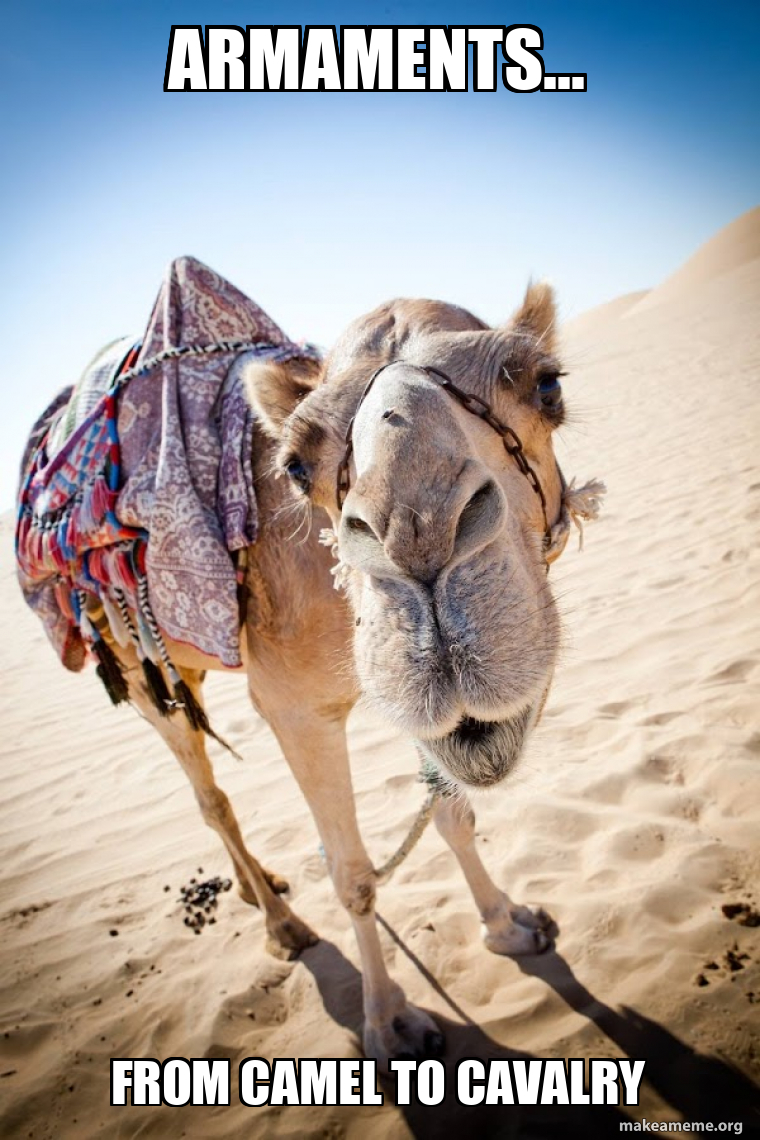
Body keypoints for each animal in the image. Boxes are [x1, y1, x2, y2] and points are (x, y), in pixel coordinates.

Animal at [19, 278, 603, 1068]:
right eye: (295, 465)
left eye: (547, 386)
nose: (418, 540)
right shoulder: (294, 707)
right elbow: (352, 873)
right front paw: (389, 1024)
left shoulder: (420, 707)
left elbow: (452, 808)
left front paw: (510, 924)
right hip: (138, 673)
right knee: (209, 796)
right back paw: (284, 926)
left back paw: (258, 886)